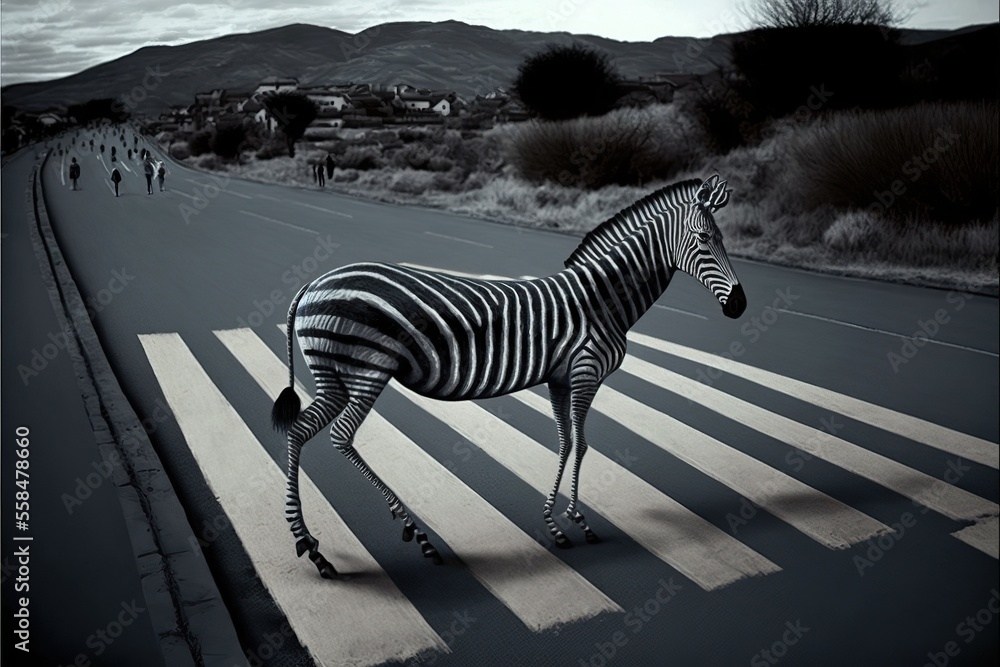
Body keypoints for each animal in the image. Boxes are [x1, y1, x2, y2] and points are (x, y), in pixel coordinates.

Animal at [271, 175, 747, 578]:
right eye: (704, 240)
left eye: (723, 240)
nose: (740, 306)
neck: (600, 300)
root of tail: (313, 283)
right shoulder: (585, 371)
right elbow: (583, 444)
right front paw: (580, 520)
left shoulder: (560, 379)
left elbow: (565, 441)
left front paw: (555, 523)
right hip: (367, 372)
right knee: (340, 437)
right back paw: (415, 535)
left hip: (334, 377)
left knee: (298, 431)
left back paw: (310, 546)